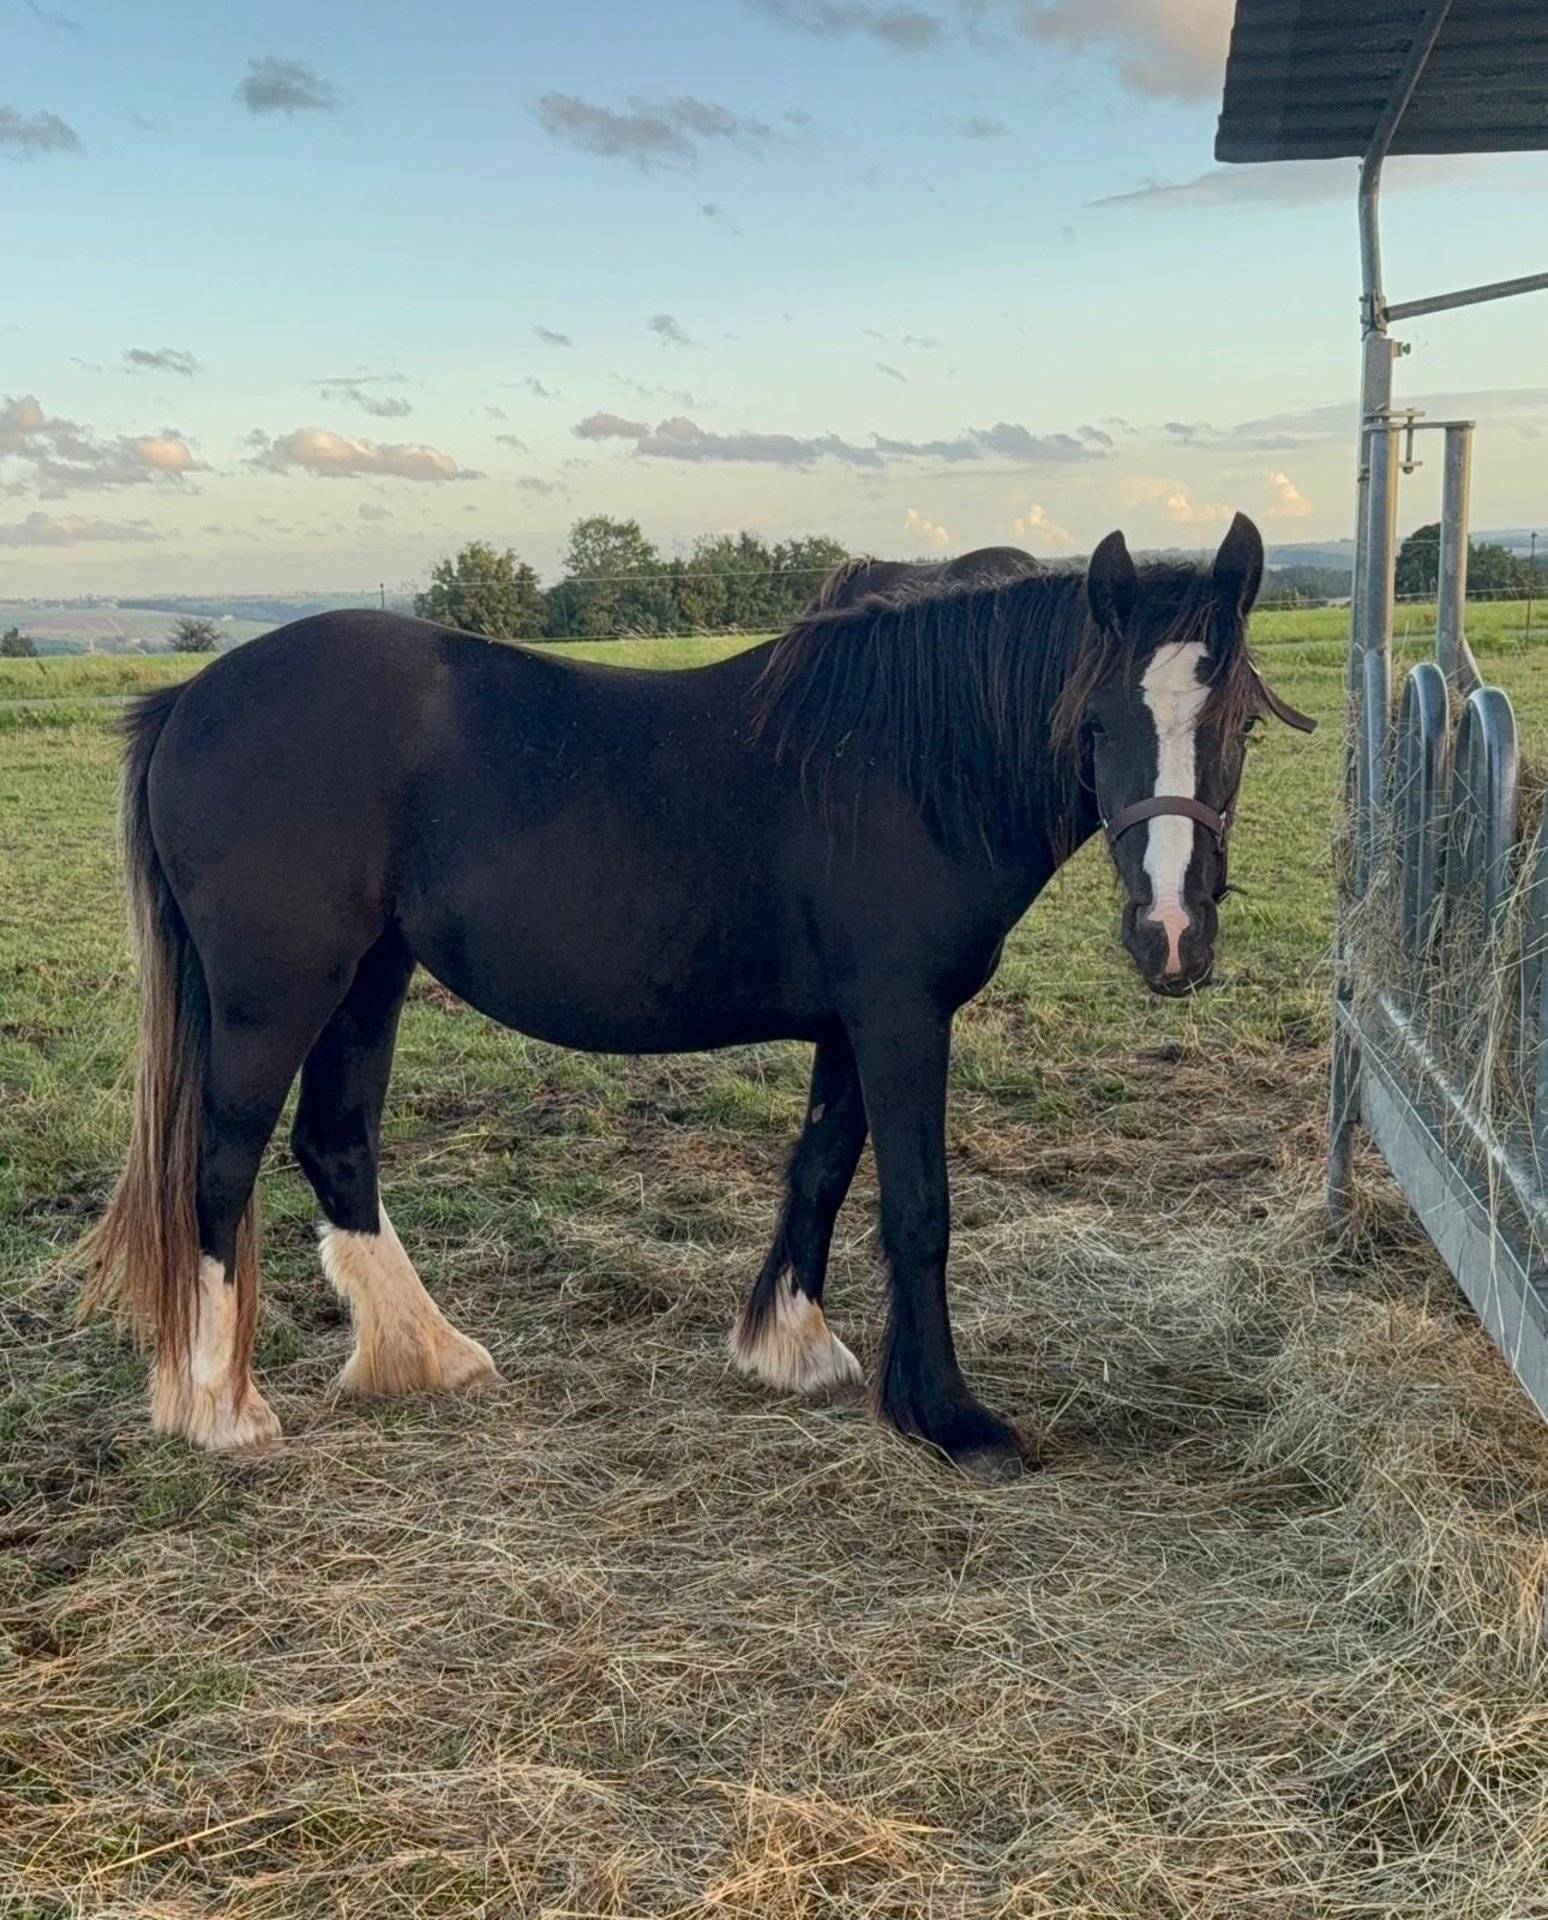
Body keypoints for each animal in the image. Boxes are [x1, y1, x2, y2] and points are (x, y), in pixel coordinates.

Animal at [83, 513, 1313, 1477]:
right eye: (1096, 724)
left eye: (1240, 723)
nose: (1170, 939)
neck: (906, 765)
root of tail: (191, 699)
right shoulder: (901, 1017)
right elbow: (918, 1209)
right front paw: (951, 1420)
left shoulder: (855, 1025)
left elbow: (821, 1168)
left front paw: (791, 1348)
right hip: (275, 996)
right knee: (220, 1167)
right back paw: (220, 1409)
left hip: (369, 978)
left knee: (336, 1147)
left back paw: (425, 1357)